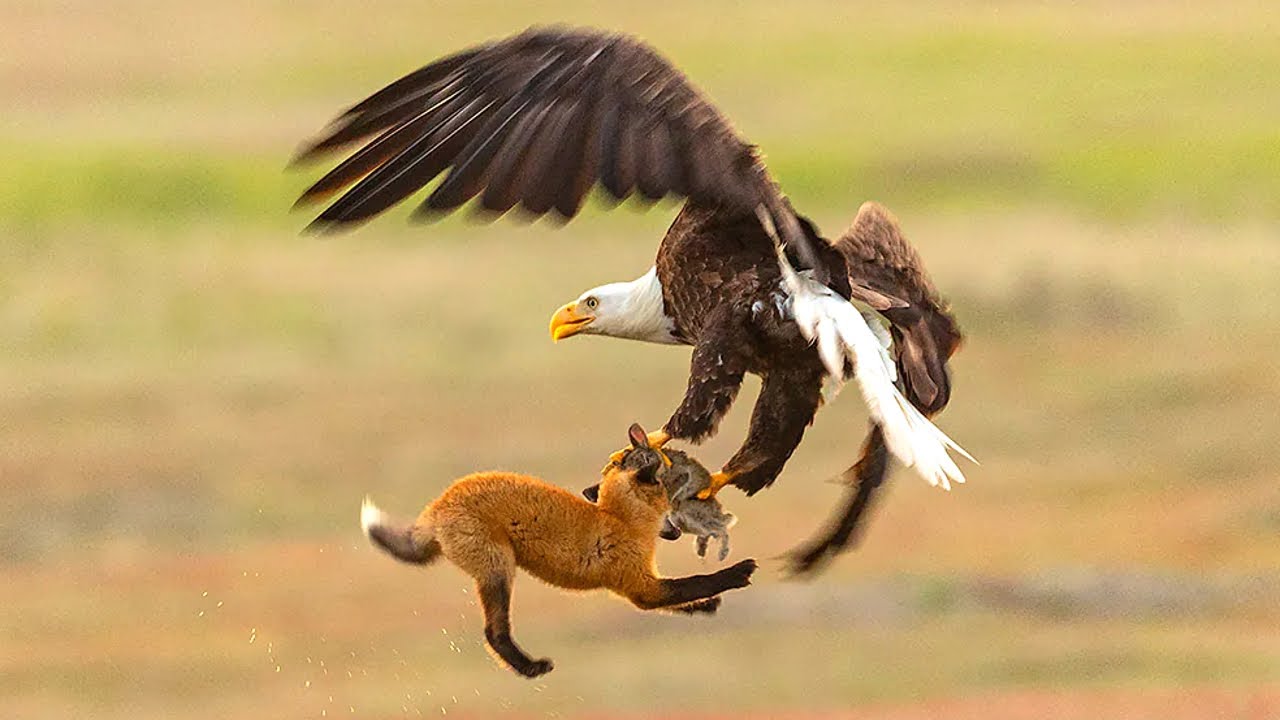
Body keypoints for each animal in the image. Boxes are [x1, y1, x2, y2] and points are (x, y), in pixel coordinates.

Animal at [359, 423, 758, 678]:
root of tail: (438, 504)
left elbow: (681, 597)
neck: (619, 518)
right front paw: (738, 573)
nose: (676, 525)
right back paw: (530, 669)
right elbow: (696, 581)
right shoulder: (639, 586)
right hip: (498, 570)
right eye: (668, 485)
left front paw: (705, 607)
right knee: (493, 633)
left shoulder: (644, 585)